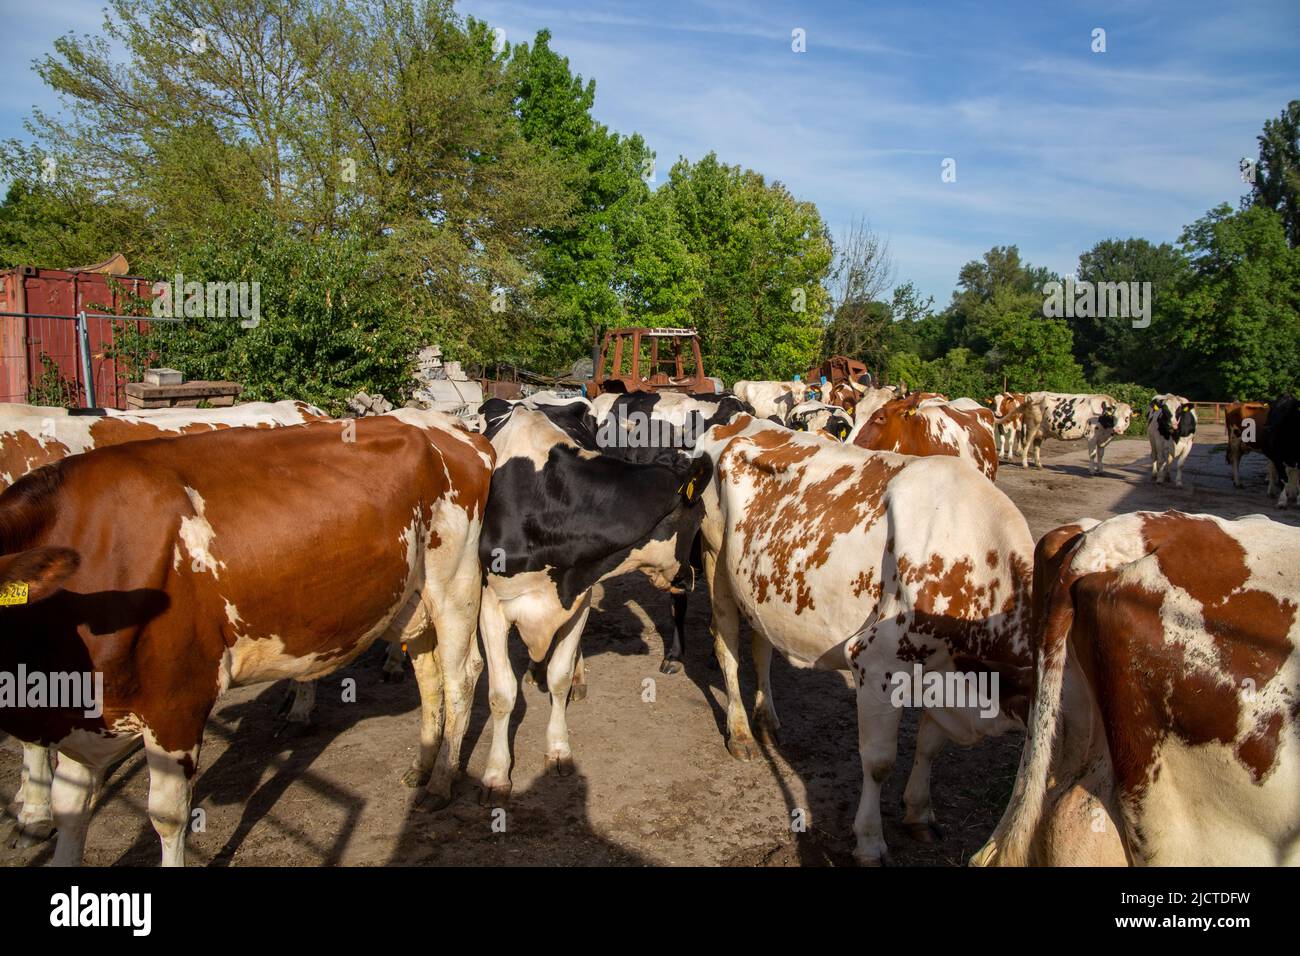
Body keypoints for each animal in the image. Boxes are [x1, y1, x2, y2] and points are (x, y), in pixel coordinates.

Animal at [0, 411, 493, 865]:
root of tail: (443, 426)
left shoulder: (177, 703)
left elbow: (168, 817)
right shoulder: (79, 718)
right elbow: (71, 810)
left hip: (455, 586)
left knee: (462, 677)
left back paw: (442, 781)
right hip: (414, 600)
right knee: (429, 678)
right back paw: (421, 766)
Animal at [476, 401, 712, 803]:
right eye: (700, 516)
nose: (689, 579)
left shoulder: (579, 595)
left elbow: (559, 676)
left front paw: (558, 749)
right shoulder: (491, 606)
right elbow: (501, 693)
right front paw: (495, 773)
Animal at [693, 416, 1034, 864]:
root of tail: (741, 420)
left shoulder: (942, 669)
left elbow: (929, 746)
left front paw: (919, 813)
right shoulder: (877, 665)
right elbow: (879, 762)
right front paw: (870, 841)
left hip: (756, 587)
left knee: (761, 647)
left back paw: (767, 720)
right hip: (716, 565)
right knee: (728, 649)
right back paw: (742, 734)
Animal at [1001, 392, 1132, 475]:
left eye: (1127, 418)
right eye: (1114, 416)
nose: (1117, 430)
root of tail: (1030, 396)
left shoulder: (1103, 439)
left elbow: (1101, 455)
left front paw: (1101, 471)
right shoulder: (1091, 436)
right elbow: (1092, 455)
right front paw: (1091, 471)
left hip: (1041, 430)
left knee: (1036, 446)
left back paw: (1039, 465)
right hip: (1031, 427)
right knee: (1026, 445)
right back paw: (1025, 465)